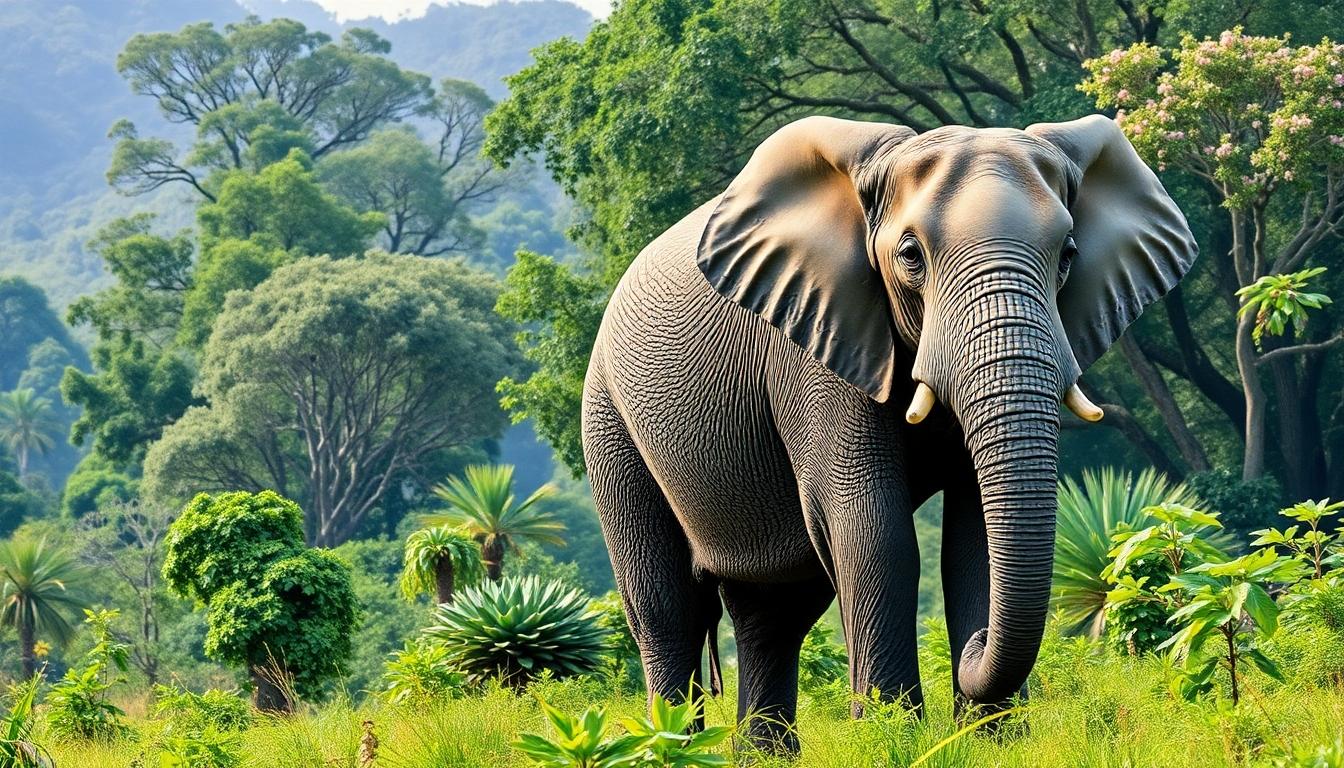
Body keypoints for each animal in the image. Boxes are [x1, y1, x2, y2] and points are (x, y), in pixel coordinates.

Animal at [581, 114, 1196, 750]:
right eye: (910, 255)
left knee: (774, 607)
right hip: (607, 421)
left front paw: (992, 740)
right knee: (669, 607)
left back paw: (761, 755)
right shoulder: (813, 343)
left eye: (1069, 255)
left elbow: (974, 535)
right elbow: (875, 530)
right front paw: (892, 733)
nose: (975, 650)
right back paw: (669, 745)